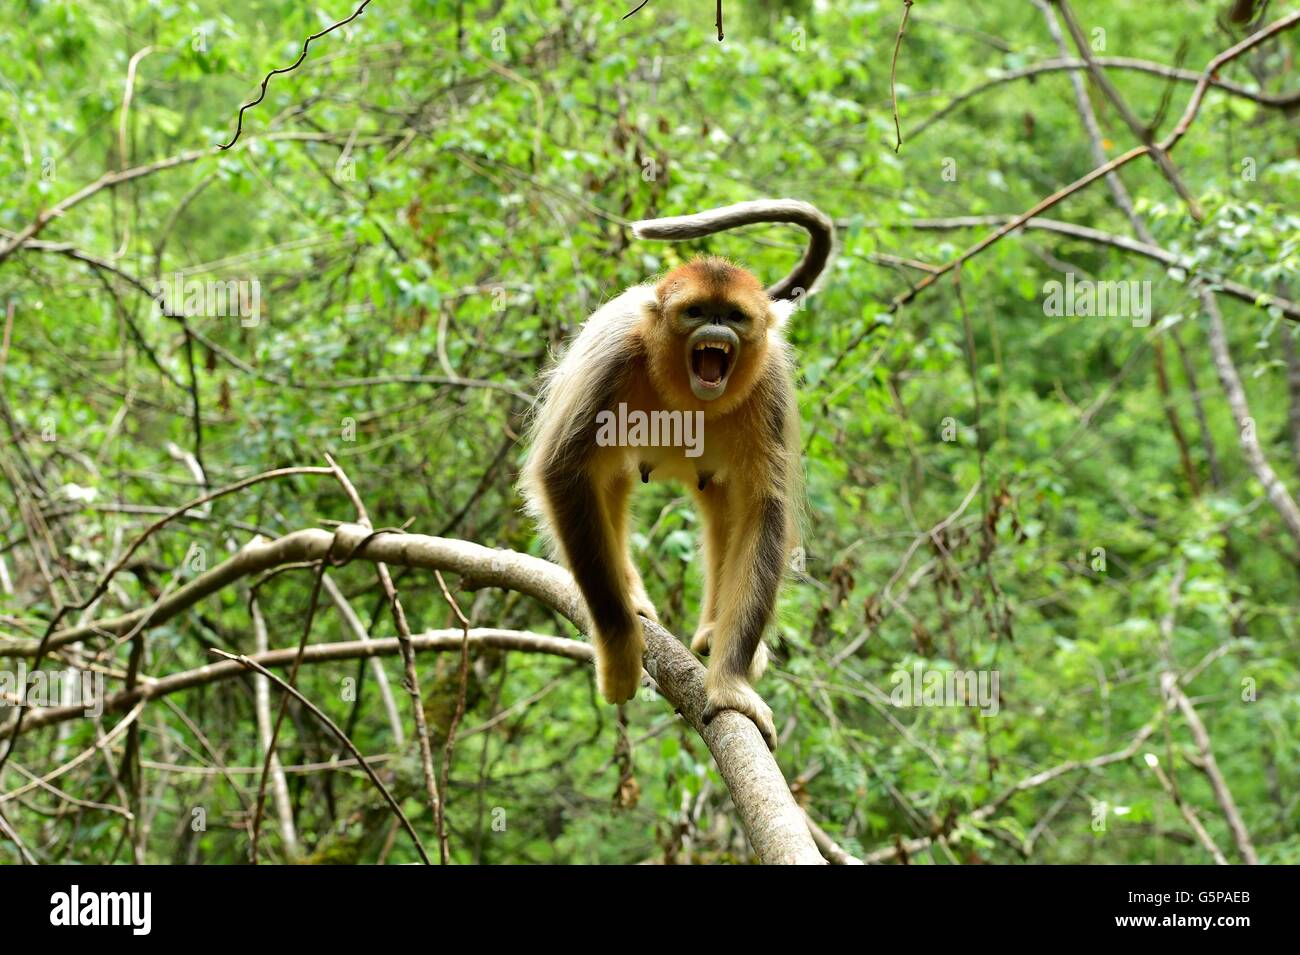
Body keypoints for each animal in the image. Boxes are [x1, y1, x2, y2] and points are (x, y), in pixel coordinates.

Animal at [522, 199, 834, 750]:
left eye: (735, 316)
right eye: (696, 313)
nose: (717, 330)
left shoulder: (770, 383)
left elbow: (764, 511)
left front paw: (730, 684)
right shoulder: (612, 358)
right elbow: (562, 472)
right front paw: (621, 647)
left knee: (727, 509)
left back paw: (715, 631)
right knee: (604, 481)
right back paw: (632, 597)